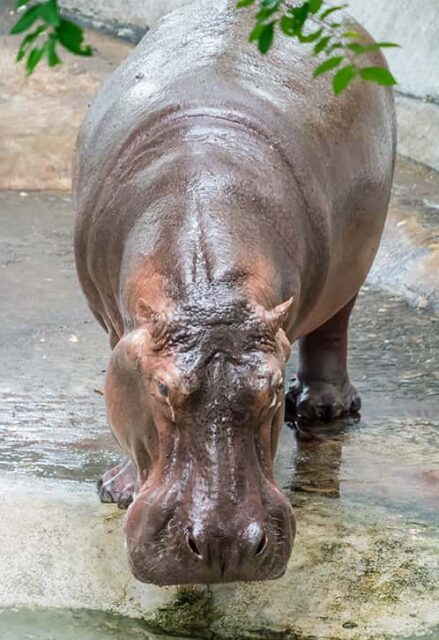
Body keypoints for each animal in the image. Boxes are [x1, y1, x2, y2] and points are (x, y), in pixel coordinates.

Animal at [73, 0, 396, 585]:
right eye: (161, 389)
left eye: (269, 388)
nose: (224, 545)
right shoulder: (121, 332)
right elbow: (120, 389)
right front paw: (118, 489)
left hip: (359, 259)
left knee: (335, 327)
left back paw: (323, 408)